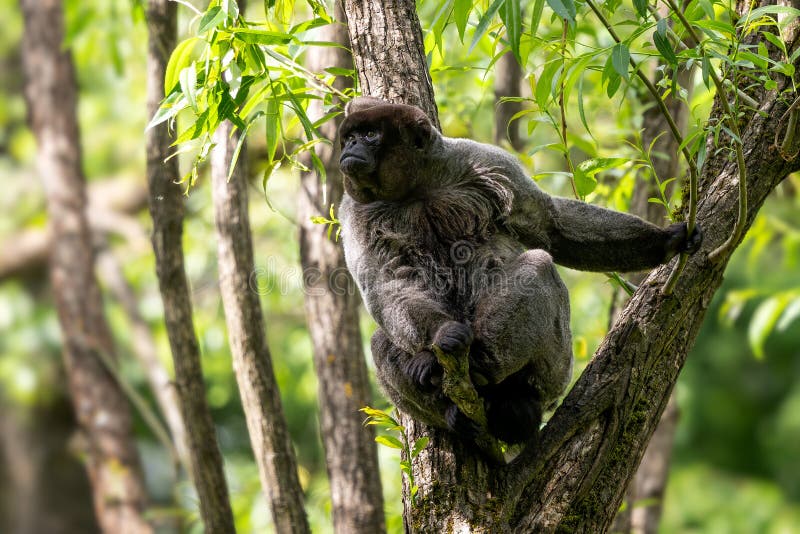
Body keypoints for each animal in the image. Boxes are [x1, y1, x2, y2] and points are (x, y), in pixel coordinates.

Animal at [337, 96, 702, 445]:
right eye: (349, 137)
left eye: (369, 135)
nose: (349, 147)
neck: (418, 189)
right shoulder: (355, 212)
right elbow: (385, 282)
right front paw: (443, 335)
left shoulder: (487, 161)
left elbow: (551, 224)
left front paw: (666, 241)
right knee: (380, 340)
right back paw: (447, 401)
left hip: (555, 373)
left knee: (538, 266)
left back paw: (492, 372)